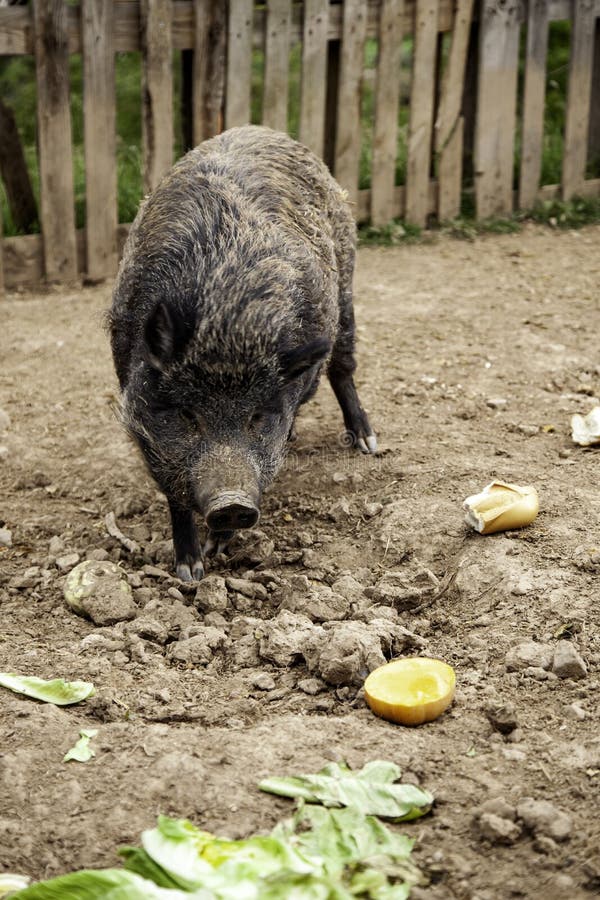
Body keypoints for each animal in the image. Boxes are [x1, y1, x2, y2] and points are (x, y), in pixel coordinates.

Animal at [109, 126, 376, 581]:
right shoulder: (143, 415)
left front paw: (217, 550)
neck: (231, 324)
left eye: (256, 417)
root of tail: (261, 129)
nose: (231, 502)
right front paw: (191, 571)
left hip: (347, 286)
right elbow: (173, 489)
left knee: (343, 367)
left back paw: (367, 444)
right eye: (187, 415)